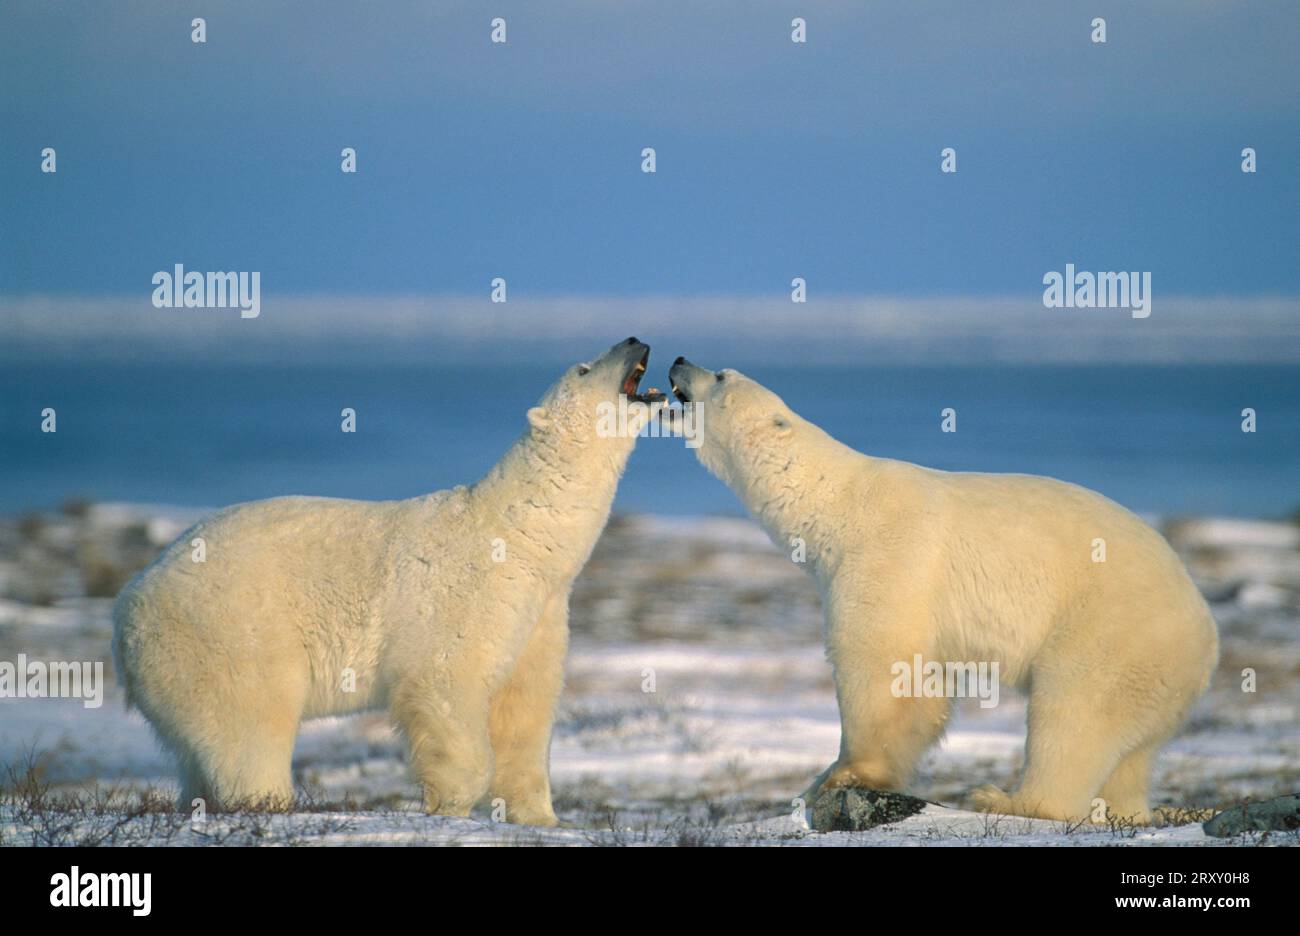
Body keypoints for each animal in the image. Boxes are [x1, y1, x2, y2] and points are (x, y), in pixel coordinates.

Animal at [112, 337, 666, 825]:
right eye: (583, 368)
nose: (634, 340)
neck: (517, 535)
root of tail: (128, 604)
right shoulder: (463, 598)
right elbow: (446, 685)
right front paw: (449, 806)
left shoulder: (538, 612)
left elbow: (524, 712)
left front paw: (545, 818)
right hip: (226, 635)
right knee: (249, 728)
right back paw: (269, 803)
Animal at [666, 356, 1218, 824]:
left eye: (721, 375)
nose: (678, 360)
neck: (837, 501)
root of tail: (1206, 633)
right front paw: (813, 784)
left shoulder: (891, 557)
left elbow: (882, 664)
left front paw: (847, 773)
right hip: (1158, 679)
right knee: (1131, 753)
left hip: (1112, 632)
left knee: (1075, 714)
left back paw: (1007, 798)